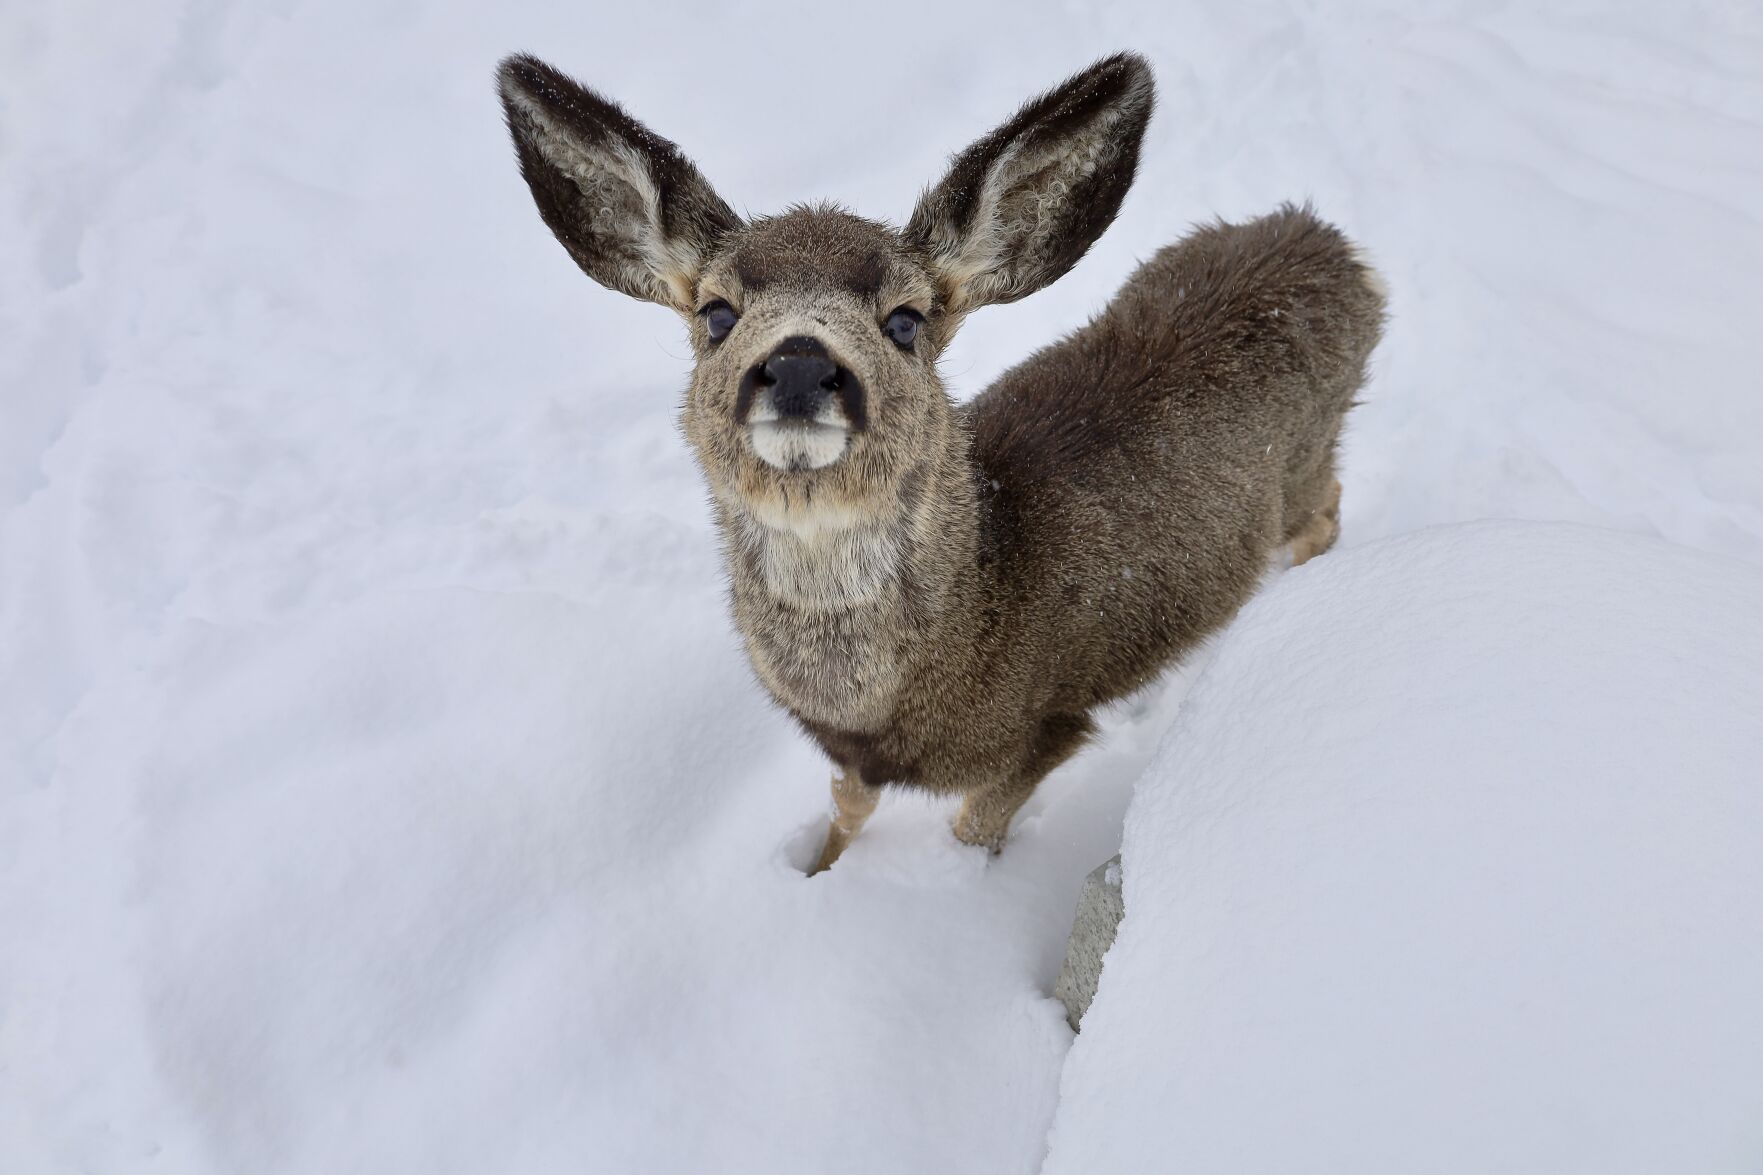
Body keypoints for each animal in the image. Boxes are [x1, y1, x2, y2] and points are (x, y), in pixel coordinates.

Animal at [496, 51, 1385, 875]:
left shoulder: (1044, 725)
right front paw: (814, 873)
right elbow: (845, 812)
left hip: (1305, 463)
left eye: (904, 318)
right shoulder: (852, 754)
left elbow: (969, 831)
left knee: (1328, 507)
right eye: (716, 312)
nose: (795, 363)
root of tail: (1338, 248)